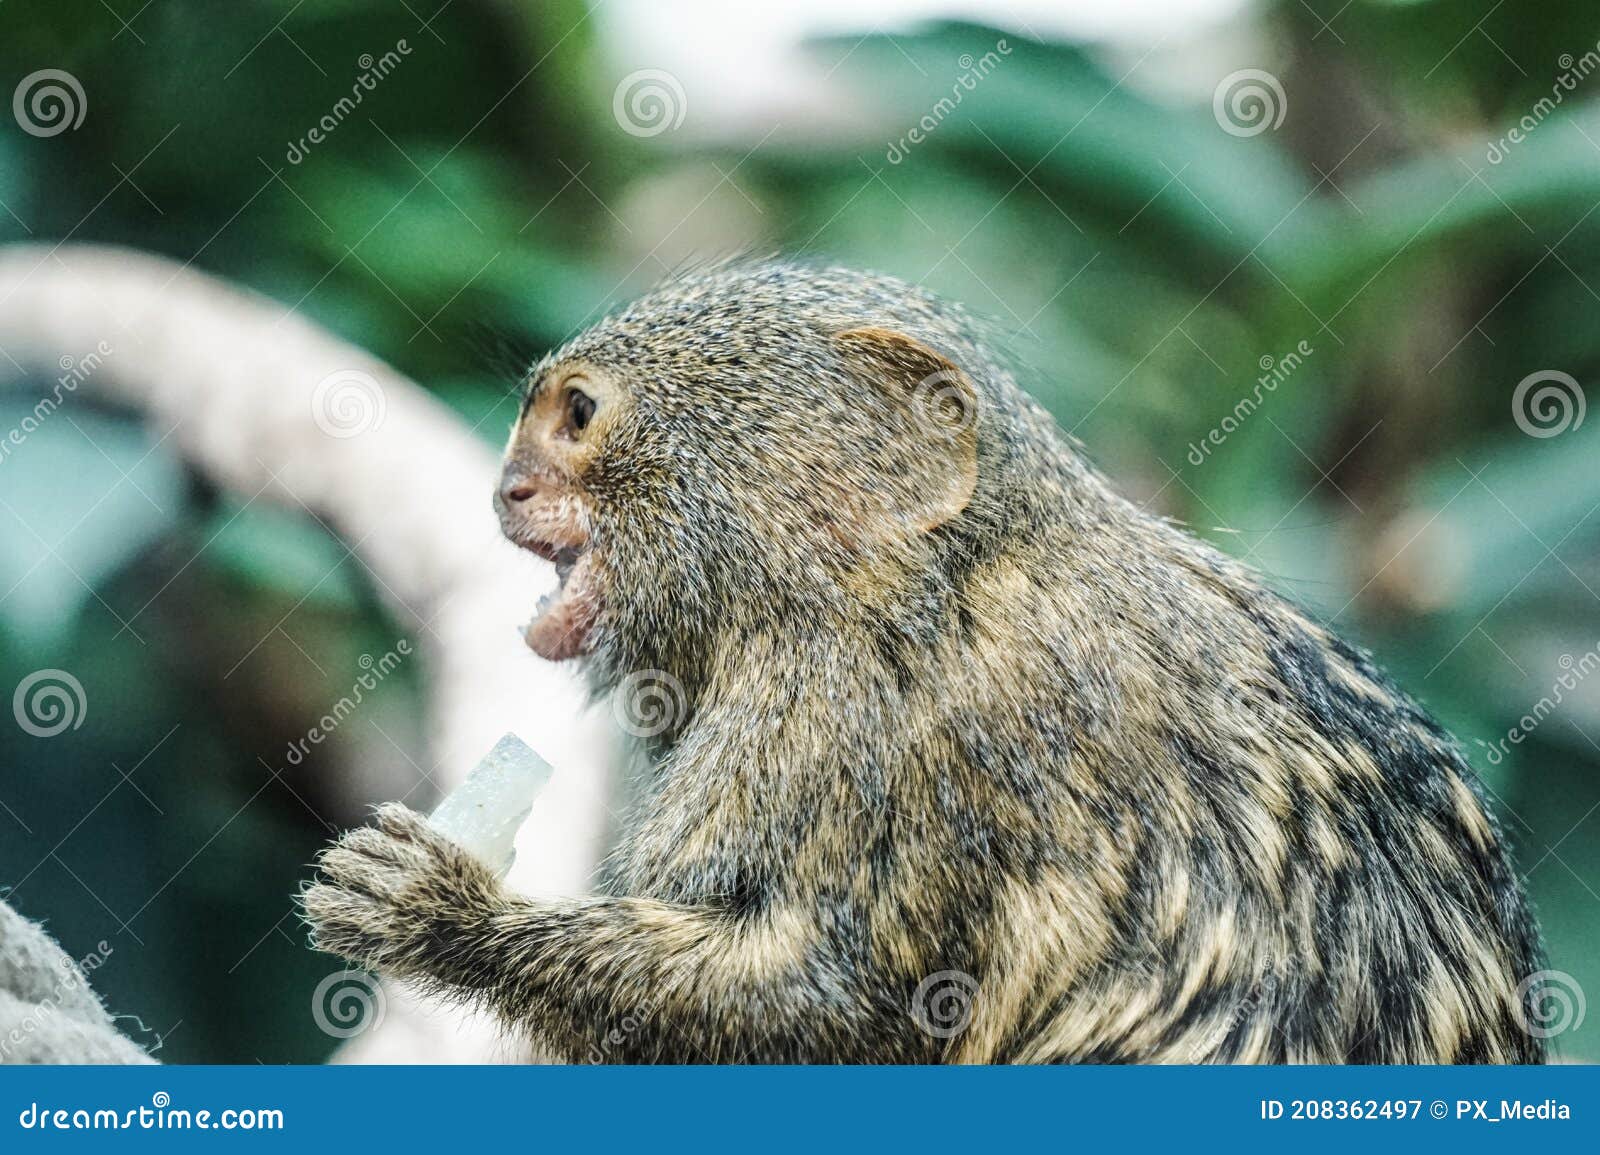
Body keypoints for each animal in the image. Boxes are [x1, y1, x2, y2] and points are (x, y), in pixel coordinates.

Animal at [302, 260, 1545, 1063]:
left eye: (577, 416)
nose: (506, 490)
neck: (898, 589)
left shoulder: (881, 733)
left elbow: (835, 1010)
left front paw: (449, 919)